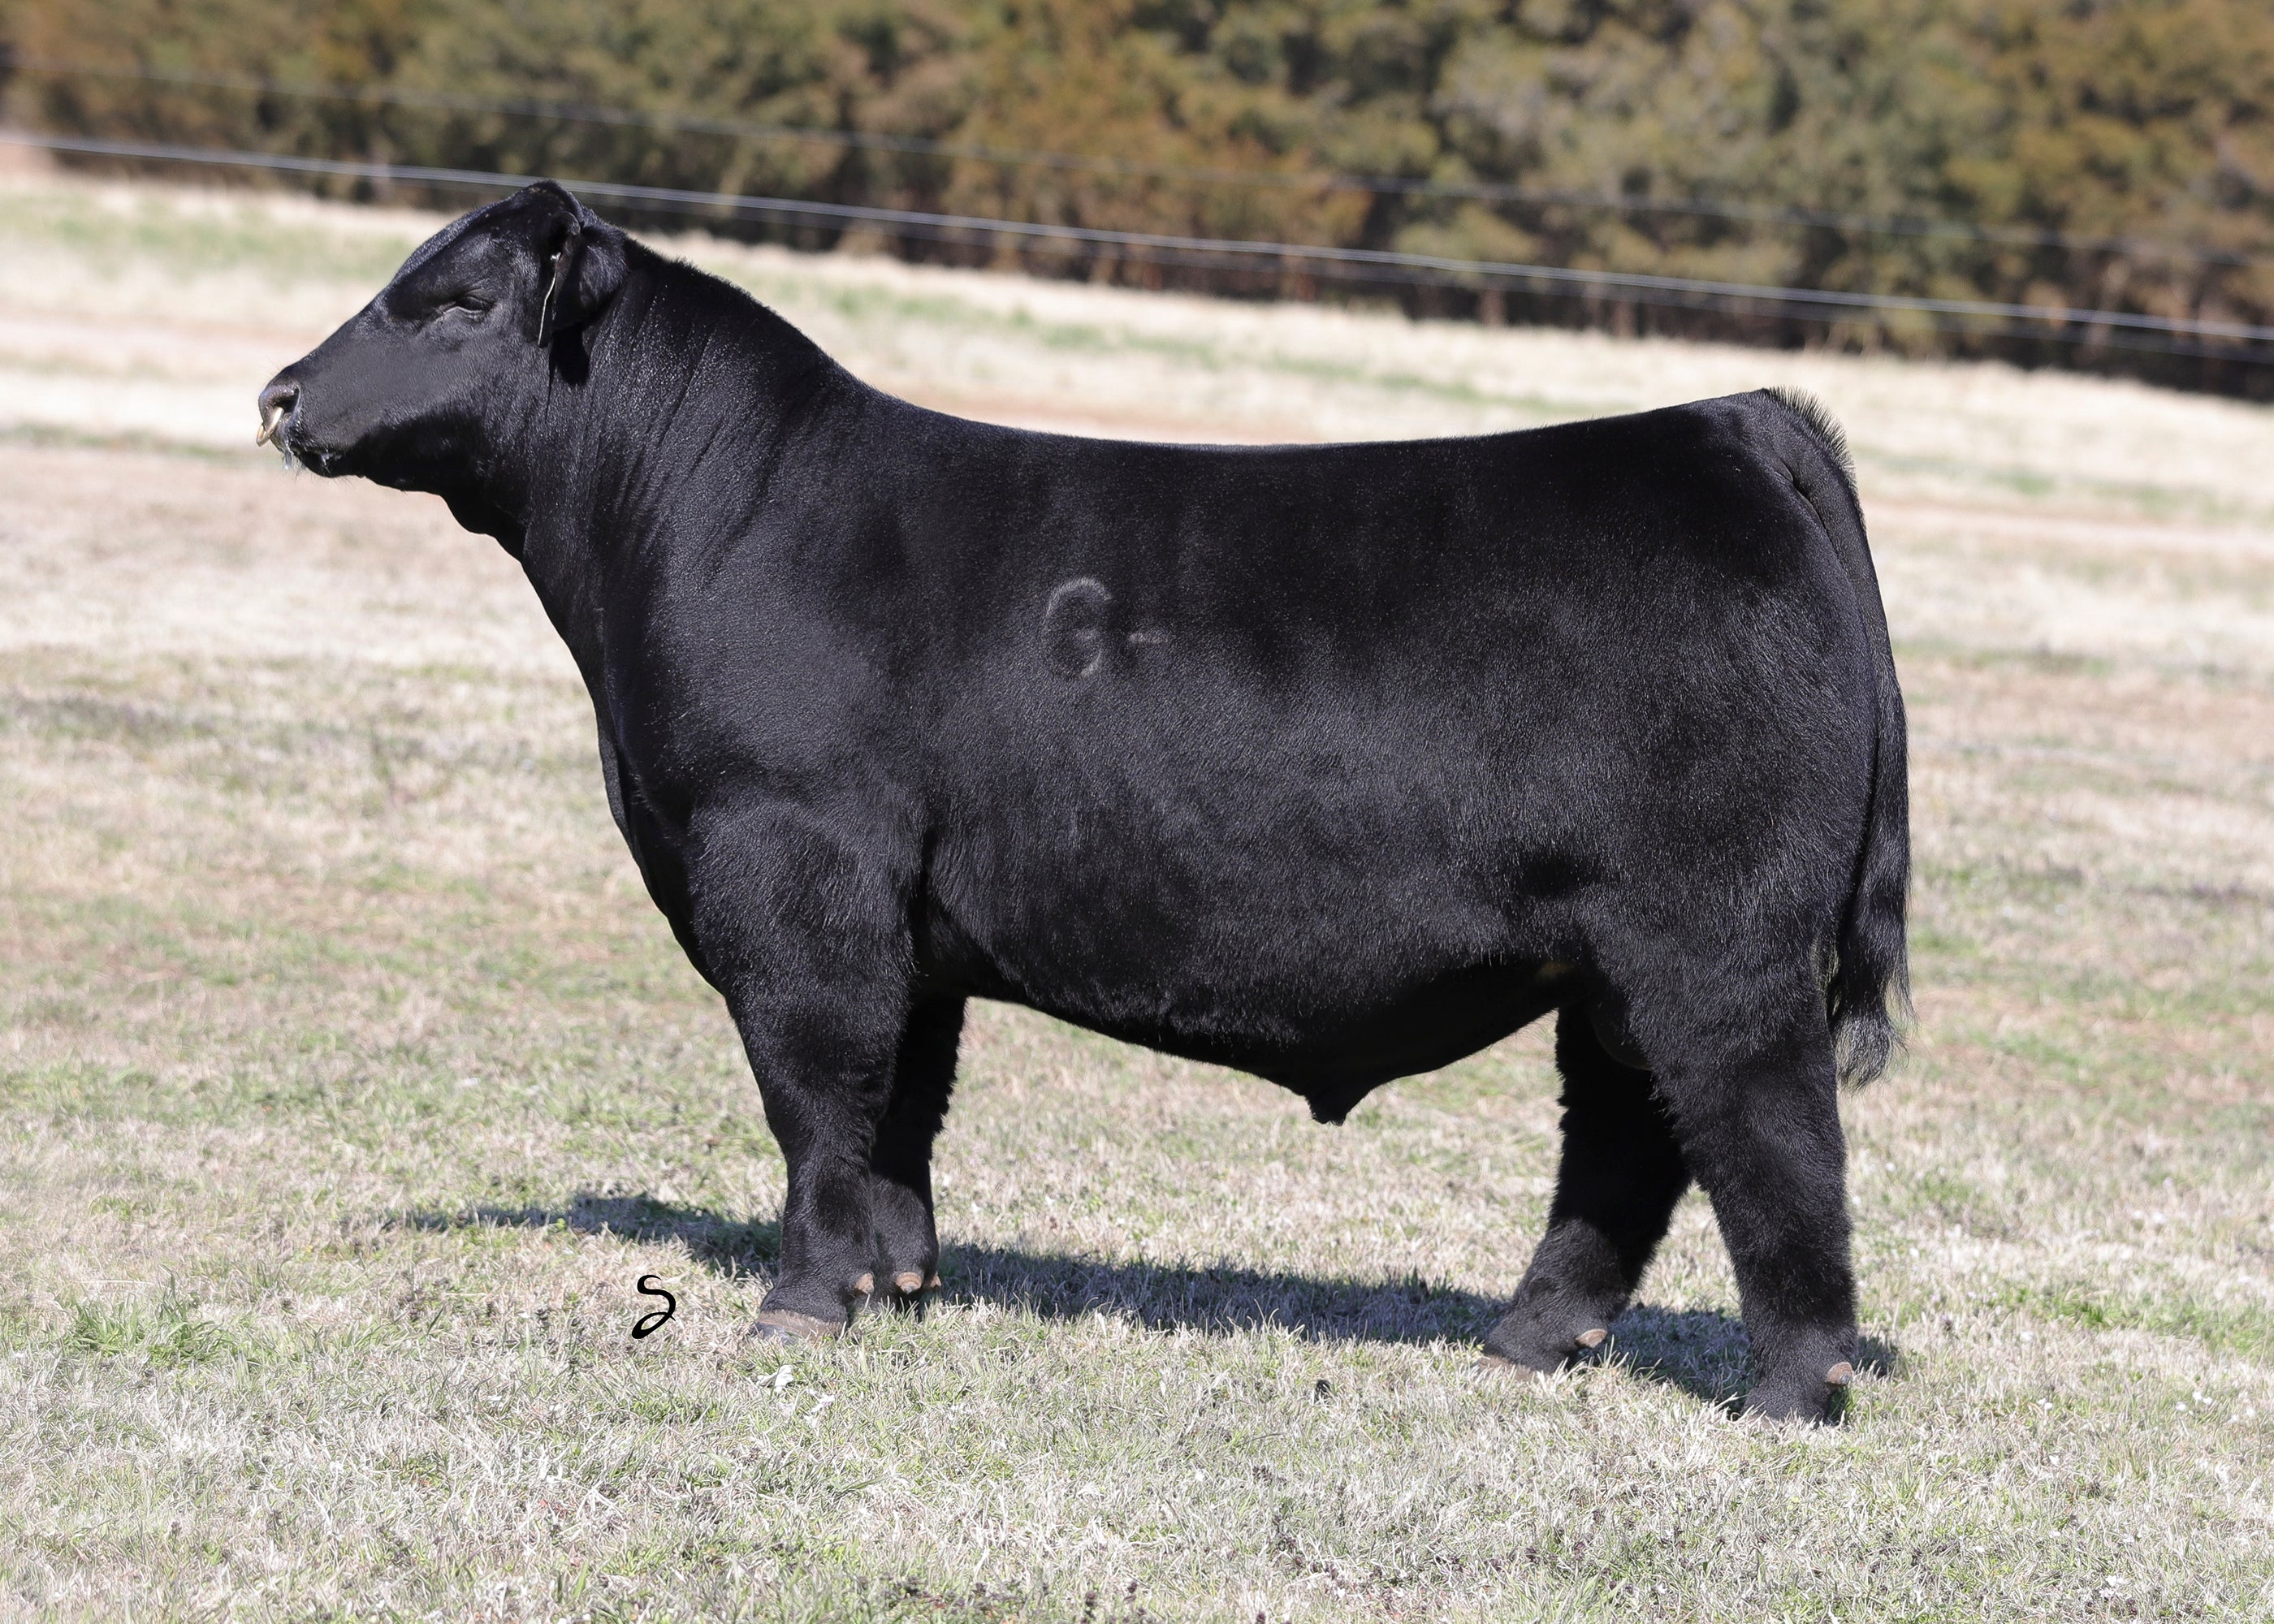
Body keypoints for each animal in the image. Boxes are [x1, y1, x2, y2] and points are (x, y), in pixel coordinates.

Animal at [258, 181, 1907, 1423]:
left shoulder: (790, 867)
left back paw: (1788, 1391)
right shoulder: (903, 917)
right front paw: (896, 1285)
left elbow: (817, 1091)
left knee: (1770, 1135)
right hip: (1614, 963)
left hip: (1717, 948)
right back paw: (1521, 1345)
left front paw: (800, 1307)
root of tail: (1728, 424)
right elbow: (901, 1101)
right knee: (1625, 1138)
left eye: (457, 300)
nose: (280, 394)